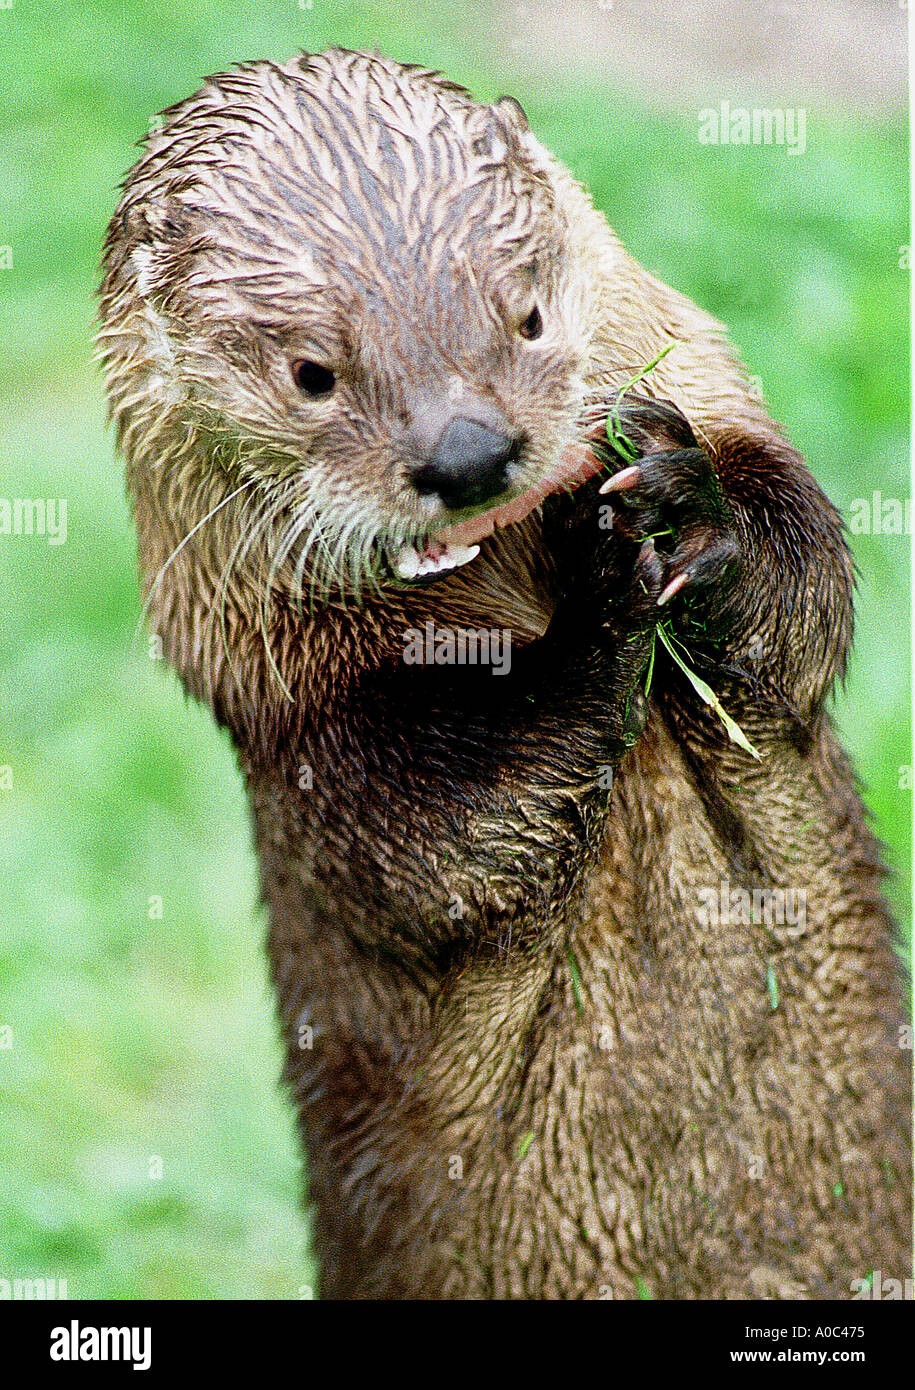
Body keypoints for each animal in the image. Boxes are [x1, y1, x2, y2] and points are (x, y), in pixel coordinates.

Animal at [97, 49, 911, 1299]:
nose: (468, 450)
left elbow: (804, 593)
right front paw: (589, 603)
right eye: (313, 372)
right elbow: (448, 834)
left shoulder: (723, 399)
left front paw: (686, 509)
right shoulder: (300, 716)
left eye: (524, 315)